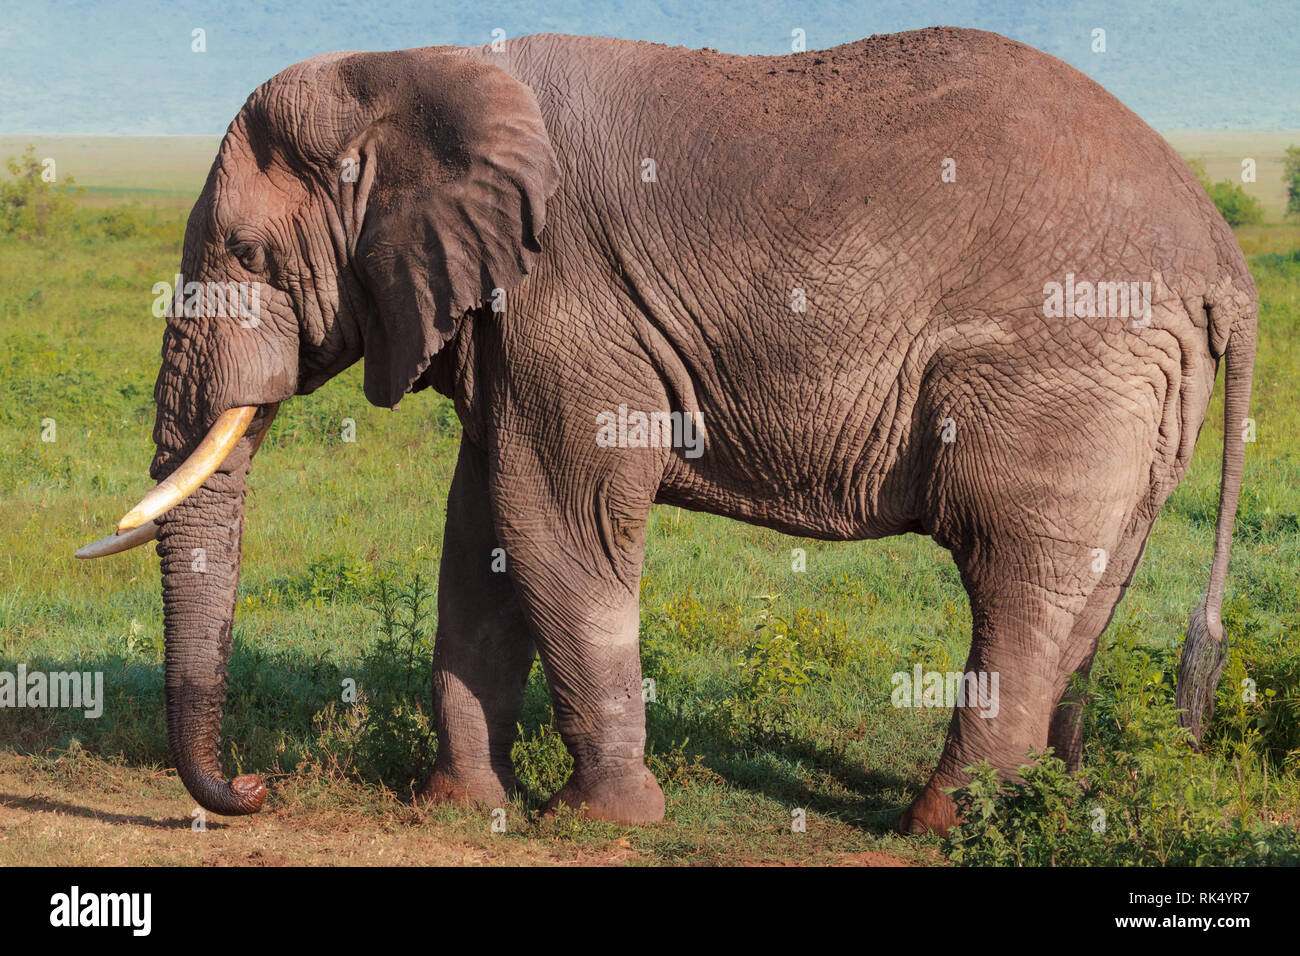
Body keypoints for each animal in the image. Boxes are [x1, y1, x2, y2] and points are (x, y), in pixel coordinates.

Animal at [78, 26, 1255, 835]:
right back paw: (1050, 803)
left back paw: (940, 823)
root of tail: (1224, 260)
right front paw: (463, 807)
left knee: (1018, 569)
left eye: (245, 254)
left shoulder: (565, 295)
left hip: (1064, 365)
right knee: (1089, 583)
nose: (254, 786)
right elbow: (480, 537)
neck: (412, 68)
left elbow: (553, 524)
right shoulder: (511, 321)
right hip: (1142, 396)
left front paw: (603, 821)